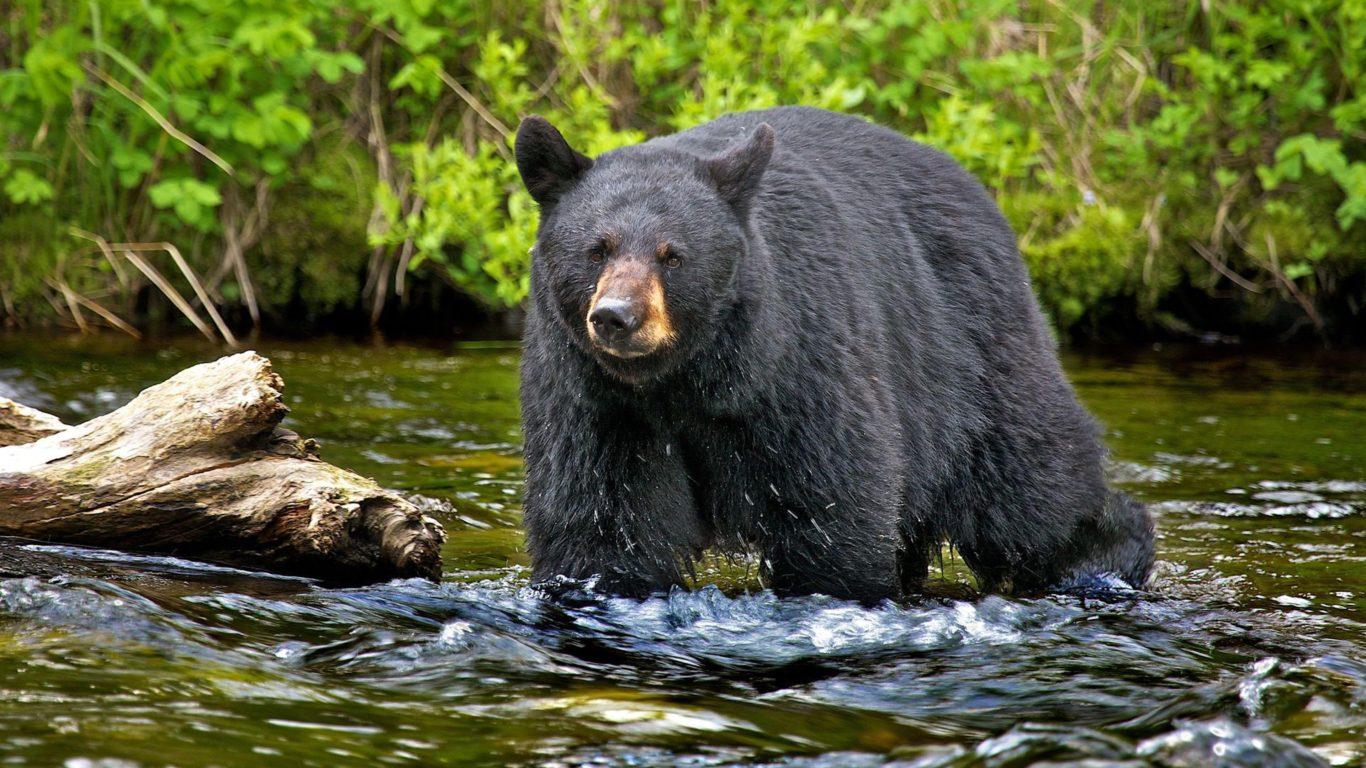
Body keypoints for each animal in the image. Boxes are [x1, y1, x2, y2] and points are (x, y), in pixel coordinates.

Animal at [514, 106, 1154, 603]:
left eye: (673, 255)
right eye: (597, 249)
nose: (616, 316)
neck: (688, 380)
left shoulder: (797, 368)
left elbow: (829, 505)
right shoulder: (597, 404)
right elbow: (603, 523)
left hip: (972, 354)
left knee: (1030, 484)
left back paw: (1102, 557)